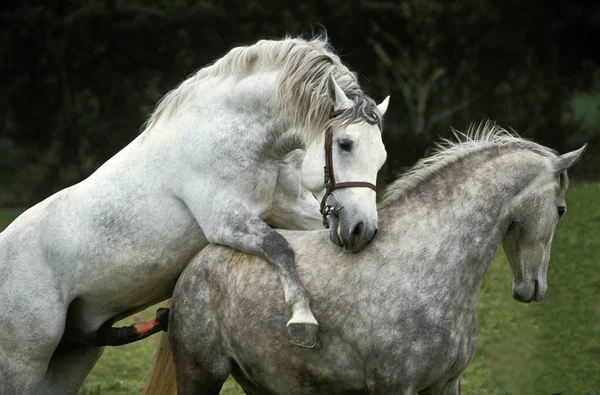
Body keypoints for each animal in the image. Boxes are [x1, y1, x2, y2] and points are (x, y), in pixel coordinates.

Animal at [0, 36, 390, 392]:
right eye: (345, 144)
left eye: (381, 156)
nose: (361, 229)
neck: (231, 133)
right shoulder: (225, 222)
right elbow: (279, 246)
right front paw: (302, 319)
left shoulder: (288, 208)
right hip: (24, 362)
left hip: (72, 356)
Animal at [164, 126, 584, 395]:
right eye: (561, 209)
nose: (533, 287)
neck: (429, 264)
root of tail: (196, 265)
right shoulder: (393, 385)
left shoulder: (446, 384)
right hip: (201, 375)